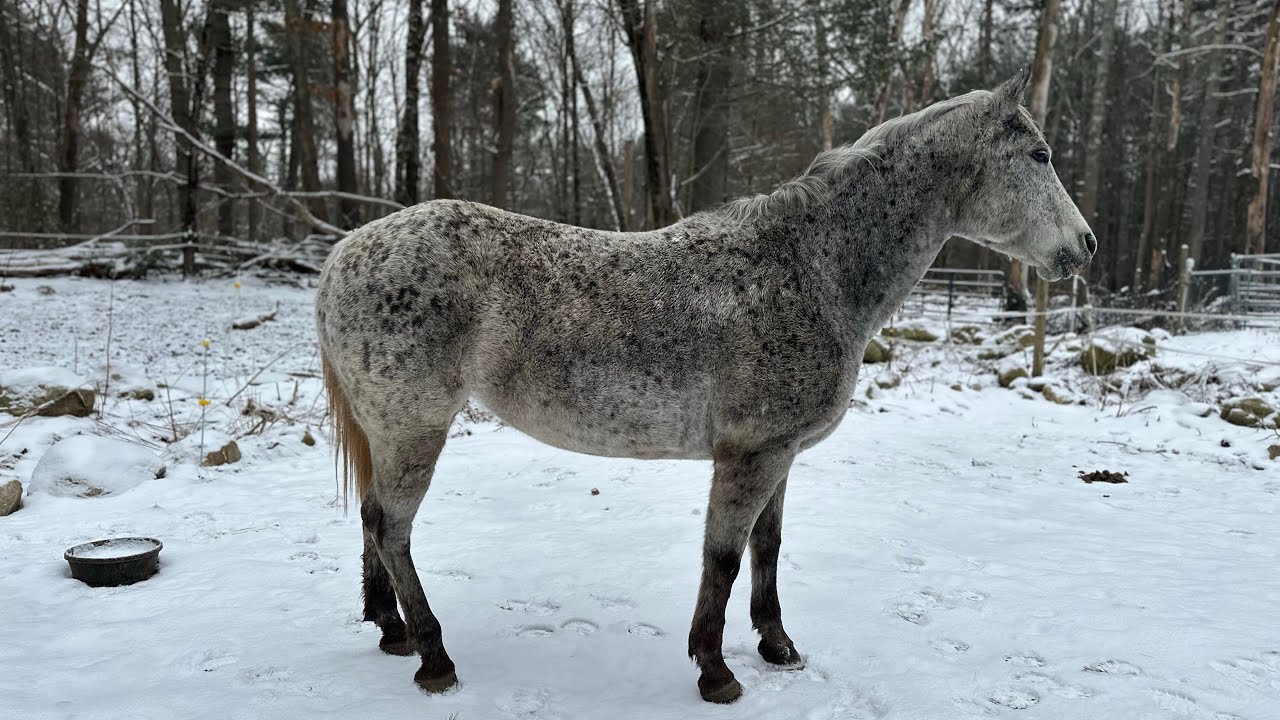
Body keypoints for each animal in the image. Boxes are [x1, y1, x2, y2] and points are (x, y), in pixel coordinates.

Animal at [315, 69, 1094, 704]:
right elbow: (723, 556)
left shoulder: (780, 453)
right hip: (415, 427)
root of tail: (346, 253)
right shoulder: (749, 455)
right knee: (392, 525)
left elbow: (766, 550)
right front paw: (715, 670)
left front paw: (777, 645)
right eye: (1040, 156)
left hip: (390, 431)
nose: (1083, 246)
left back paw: (392, 630)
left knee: (374, 519)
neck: (811, 270)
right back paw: (433, 655)